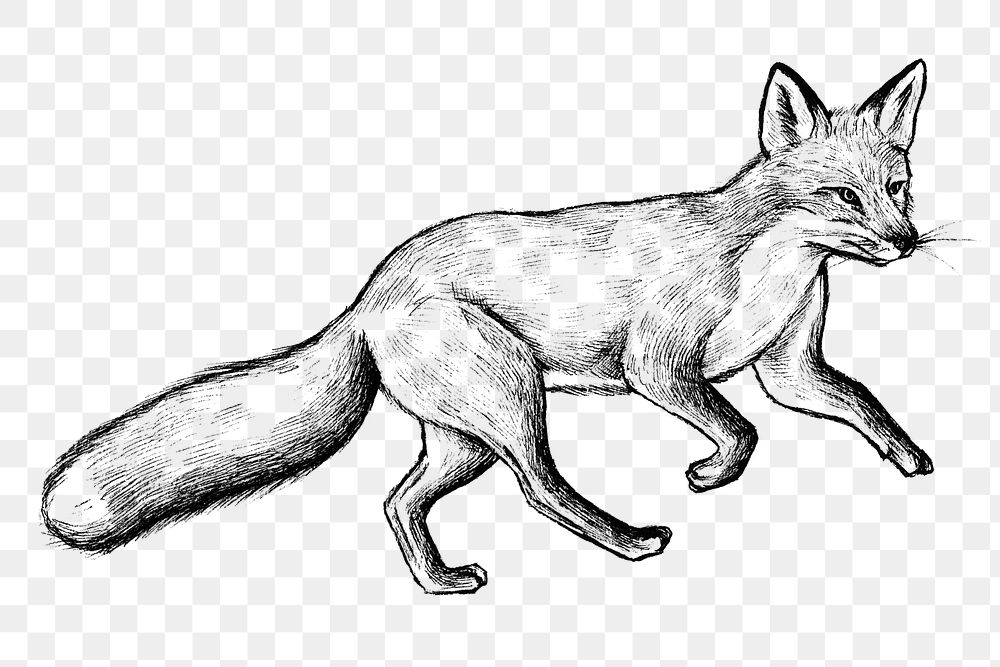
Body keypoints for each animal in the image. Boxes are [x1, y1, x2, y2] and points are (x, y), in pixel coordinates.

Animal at [43, 61, 935, 594]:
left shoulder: (788, 367)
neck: (770, 265)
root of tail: (367, 297)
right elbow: (744, 431)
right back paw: (628, 541)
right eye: (844, 197)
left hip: (463, 438)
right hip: (513, 400)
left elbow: (860, 401)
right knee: (538, 489)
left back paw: (439, 583)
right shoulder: (657, 366)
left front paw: (909, 456)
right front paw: (712, 473)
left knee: (398, 502)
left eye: (898, 189)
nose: (906, 242)